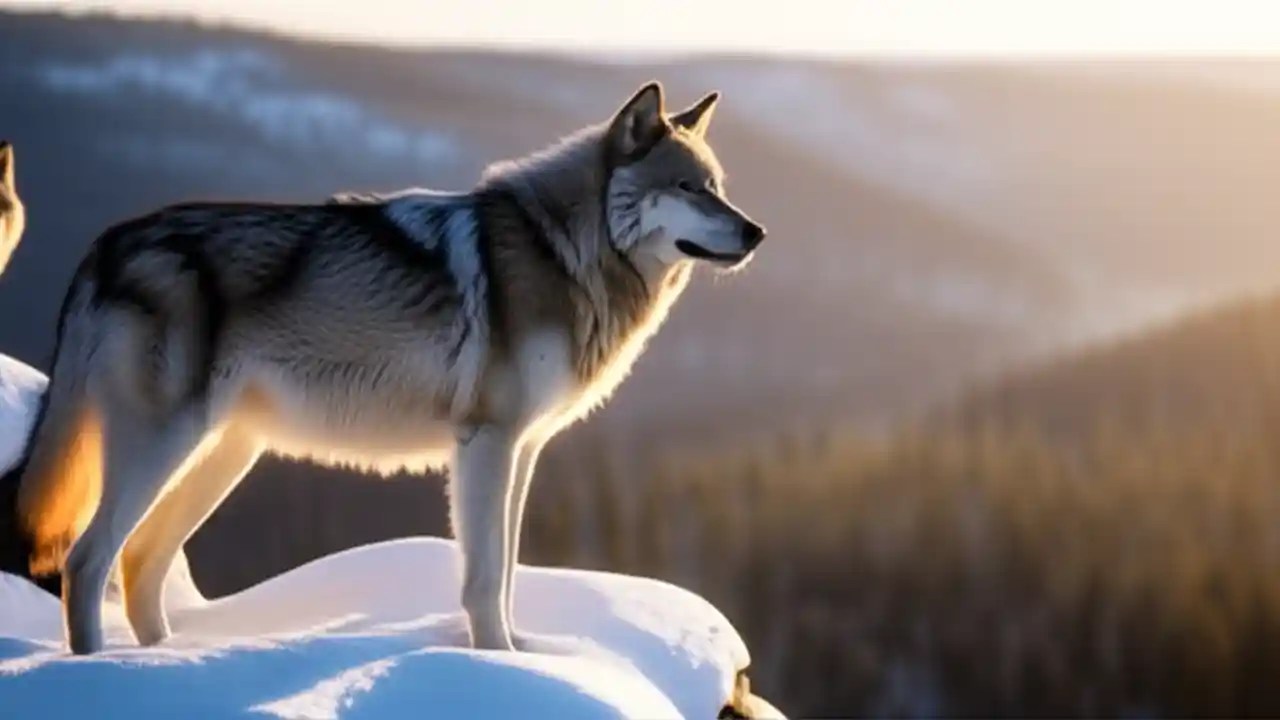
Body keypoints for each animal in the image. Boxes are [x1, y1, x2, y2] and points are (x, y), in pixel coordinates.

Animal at [15, 81, 764, 654]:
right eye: (689, 188)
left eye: (720, 188)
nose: (757, 231)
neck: (566, 251)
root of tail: (107, 244)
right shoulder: (486, 443)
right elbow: (485, 578)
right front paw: (495, 661)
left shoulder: (523, 450)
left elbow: (509, 572)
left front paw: (520, 656)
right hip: (164, 447)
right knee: (87, 562)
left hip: (224, 456)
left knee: (140, 561)